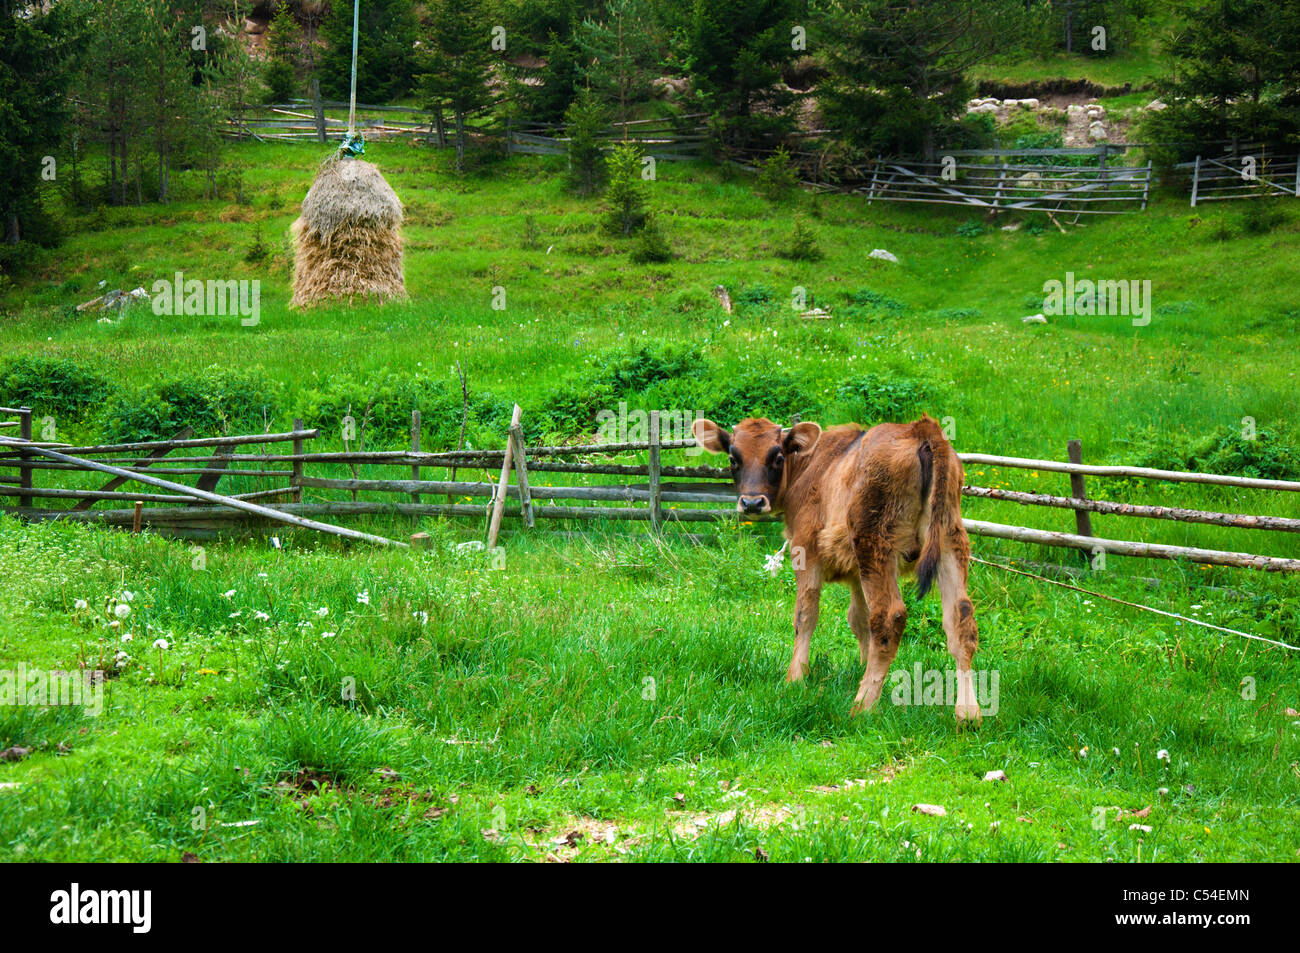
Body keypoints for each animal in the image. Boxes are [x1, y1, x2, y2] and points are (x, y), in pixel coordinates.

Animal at [691, 414, 982, 723]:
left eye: (777, 456)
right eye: (733, 458)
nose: (752, 502)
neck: (810, 466)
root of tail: (921, 430)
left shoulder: (806, 552)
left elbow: (805, 615)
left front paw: (795, 678)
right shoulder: (856, 573)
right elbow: (859, 619)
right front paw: (863, 667)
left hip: (875, 542)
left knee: (888, 618)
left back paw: (862, 706)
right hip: (949, 541)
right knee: (960, 620)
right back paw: (968, 714)